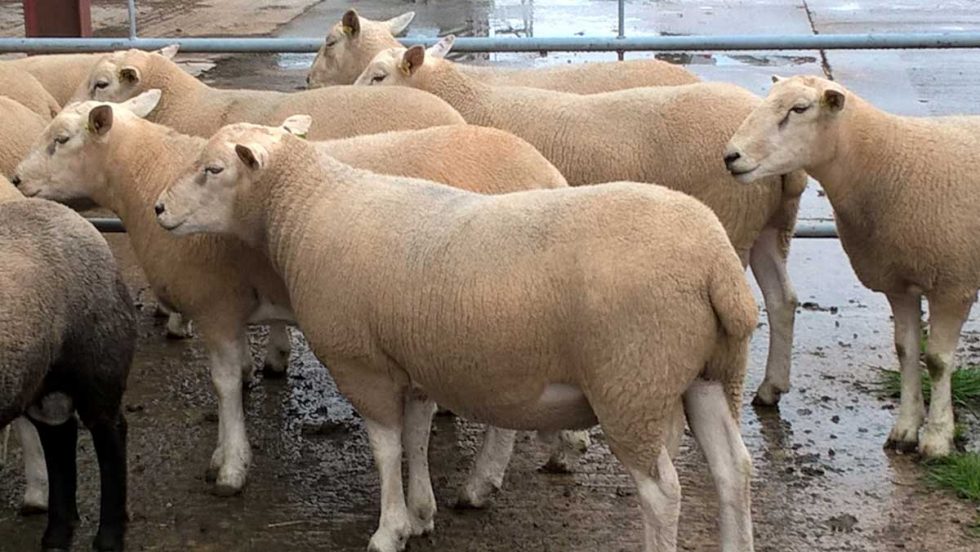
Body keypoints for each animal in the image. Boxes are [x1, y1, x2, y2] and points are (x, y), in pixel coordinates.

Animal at [0, 175, 136, 551]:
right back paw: (58, 532)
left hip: (99, 362)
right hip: (42, 378)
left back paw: (109, 536)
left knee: (110, 434)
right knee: (59, 435)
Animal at [155, 121, 758, 552]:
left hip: (632, 382)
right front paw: (421, 515)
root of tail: (716, 266)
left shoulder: (360, 362)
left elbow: (385, 447)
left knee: (663, 493)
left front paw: (389, 530)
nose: (159, 208)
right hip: (708, 375)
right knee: (734, 471)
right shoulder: (415, 359)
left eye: (212, 169)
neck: (308, 205)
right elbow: (417, 436)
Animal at [356, 38, 807, 407]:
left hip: (733, 218)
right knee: (783, 299)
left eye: (378, 76)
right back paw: (771, 388)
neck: (466, 98)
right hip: (771, 223)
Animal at [724, 74, 980, 457]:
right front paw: (905, 430)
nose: (731, 156)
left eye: (799, 109)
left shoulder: (953, 283)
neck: (887, 161)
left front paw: (936, 438)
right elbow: (906, 351)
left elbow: (937, 360)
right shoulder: (897, 282)